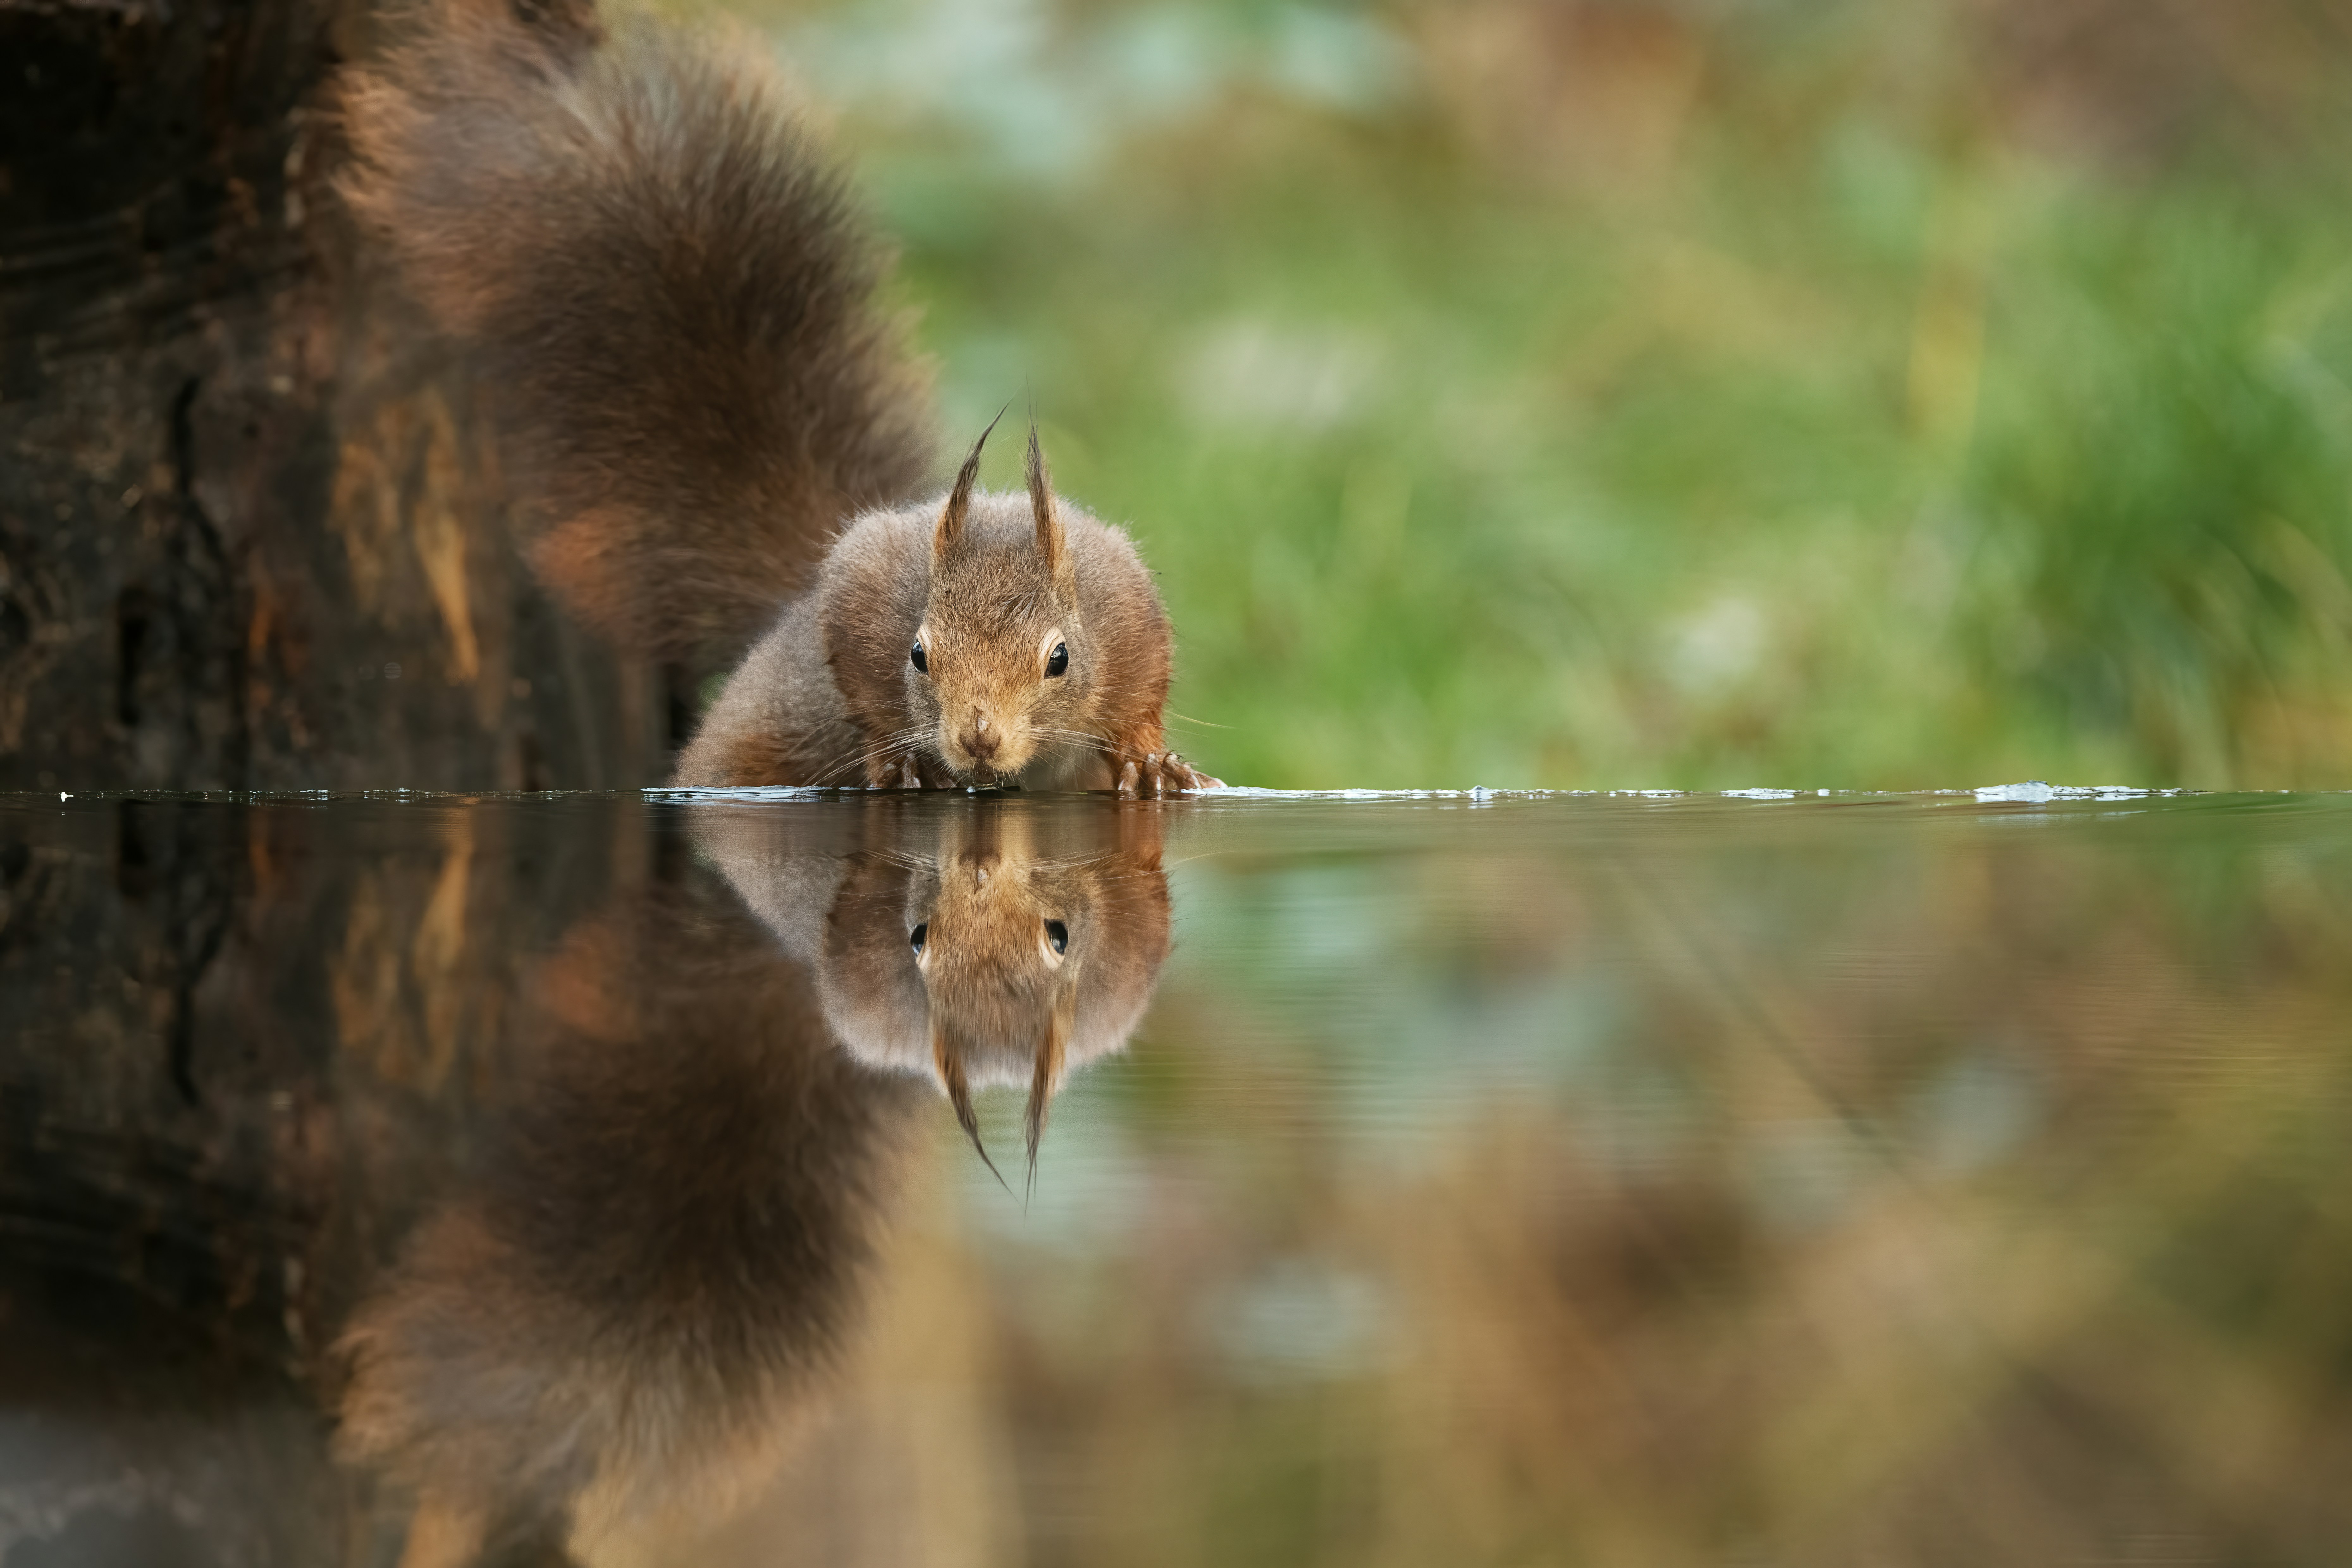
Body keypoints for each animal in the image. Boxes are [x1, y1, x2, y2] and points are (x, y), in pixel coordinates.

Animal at [340, 0, 1221, 794]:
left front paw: (1153, 762)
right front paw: (899, 763)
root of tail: (778, 619)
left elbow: (1146, 695)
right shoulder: (858, 596)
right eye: (918, 654)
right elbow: (862, 693)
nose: (977, 739)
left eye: (1059, 659)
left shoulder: (1129, 611)